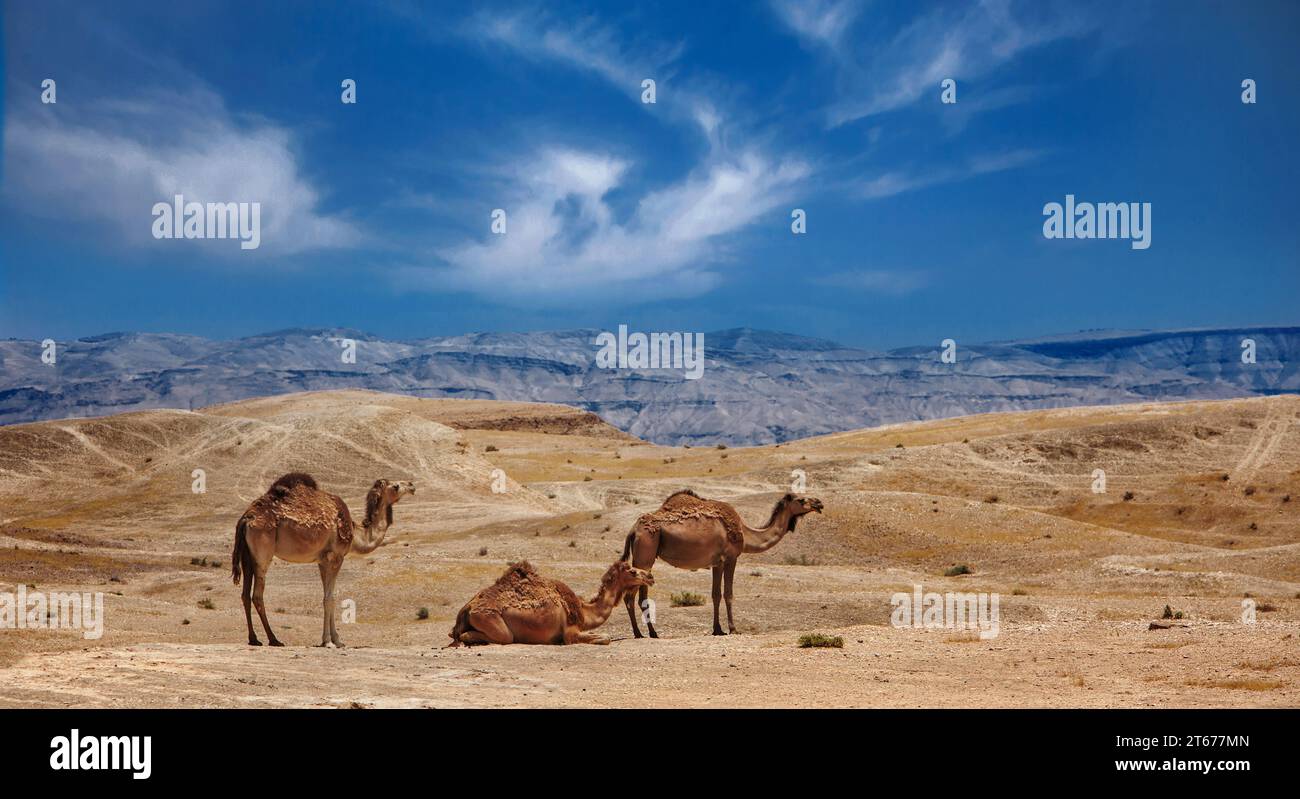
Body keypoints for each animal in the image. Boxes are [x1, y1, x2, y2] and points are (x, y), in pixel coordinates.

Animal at [231, 472, 415, 647]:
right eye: (396, 486)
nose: (412, 485)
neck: (355, 533)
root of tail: (246, 518)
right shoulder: (336, 557)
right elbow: (329, 599)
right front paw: (330, 641)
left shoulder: (321, 561)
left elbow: (326, 596)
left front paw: (335, 640)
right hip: (263, 554)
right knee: (257, 595)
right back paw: (274, 639)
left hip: (249, 556)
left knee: (245, 595)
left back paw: (254, 639)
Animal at [446, 559, 654, 646]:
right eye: (632, 571)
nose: (650, 577)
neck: (583, 610)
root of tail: (467, 608)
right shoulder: (570, 632)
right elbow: (605, 638)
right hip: (491, 620)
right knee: (498, 637)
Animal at [620, 489, 823, 637]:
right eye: (801, 500)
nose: (819, 503)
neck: (746, 533)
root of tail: (633, 529)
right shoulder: (731, 557)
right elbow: (728, 594)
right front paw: (733, 629)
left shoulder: (717, 563)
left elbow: (716, 595)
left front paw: (717, 629)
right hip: (645, 554)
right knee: (631, 596)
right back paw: (643, 633)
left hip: (645, 559)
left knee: (637, 596)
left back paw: (647, 633)